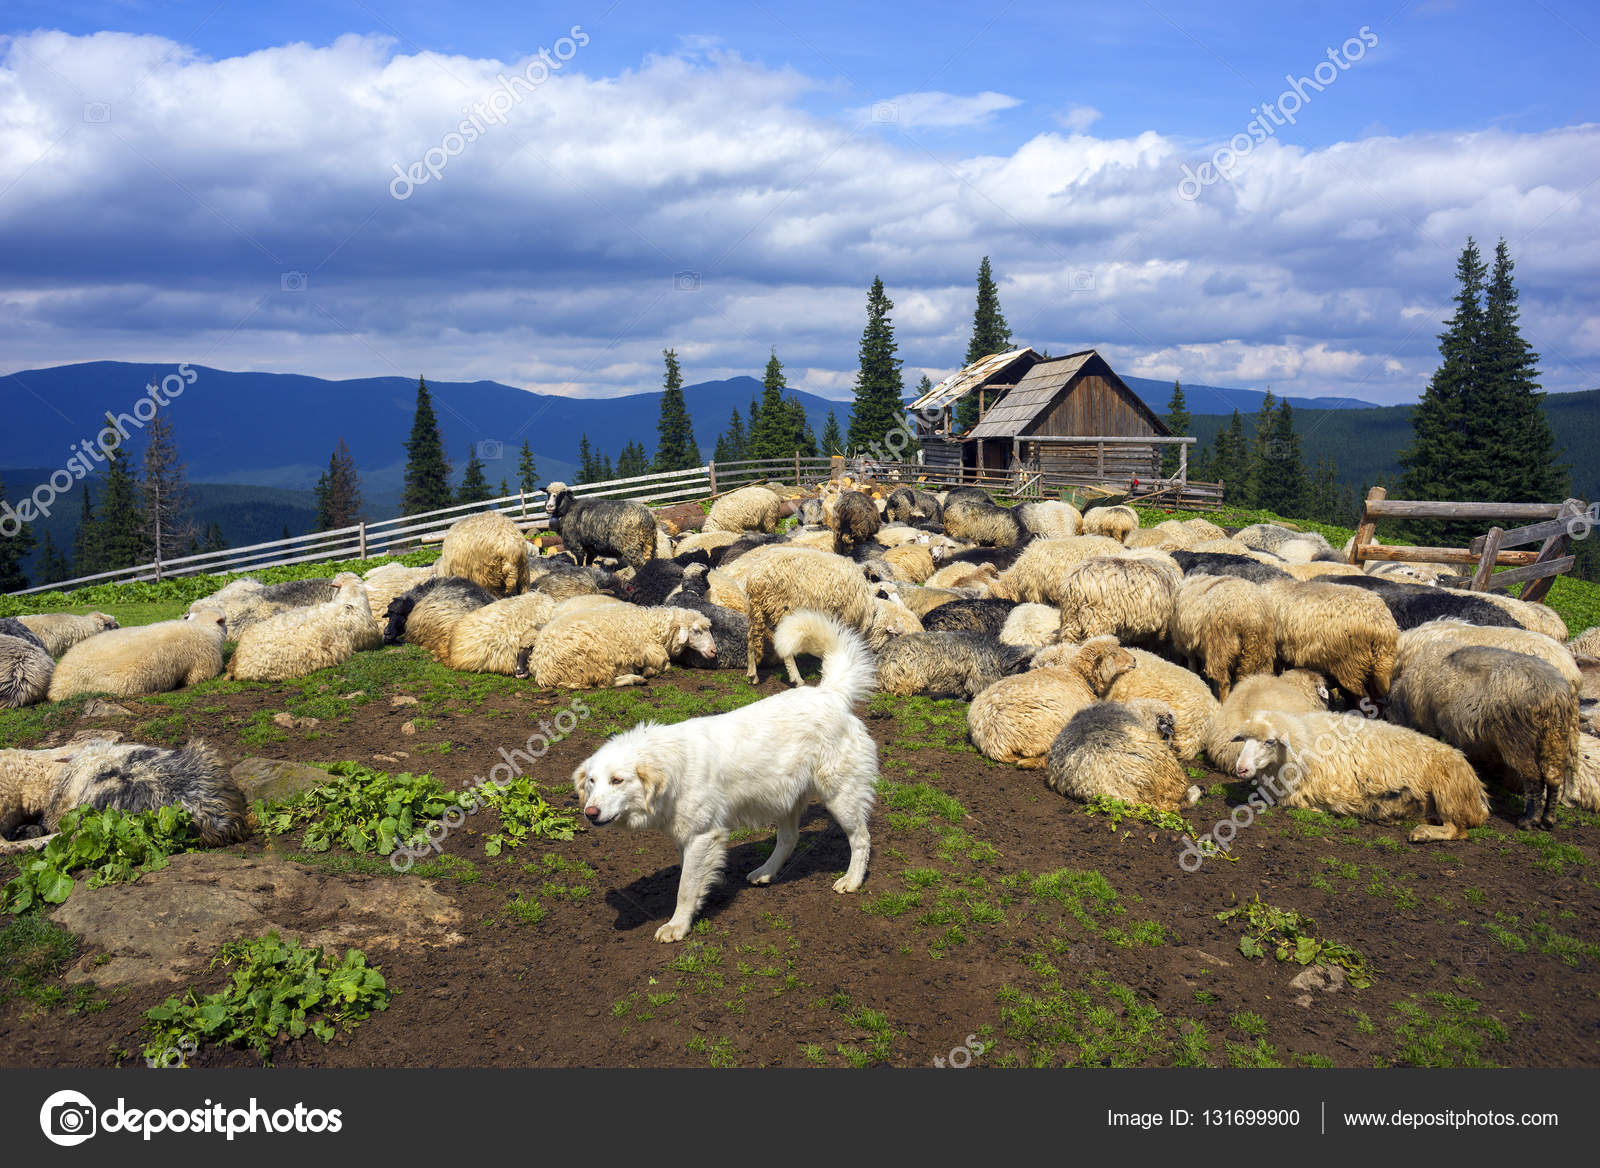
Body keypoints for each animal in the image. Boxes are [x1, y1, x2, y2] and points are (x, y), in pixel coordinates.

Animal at [521, 601, 716, 688]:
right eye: (696, 630)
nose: (714, 651)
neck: (651, 625)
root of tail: (542, 671)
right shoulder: (651, 652)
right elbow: (665, 665)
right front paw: (648, 671)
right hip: (596, 658)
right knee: (605, 684)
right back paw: (635, 678)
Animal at [742, 548, 877, 683]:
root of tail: (756, 579)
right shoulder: (845, 617)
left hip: (759, 610)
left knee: (750, 638)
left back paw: (752, 675)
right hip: (782, 608)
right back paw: (797, 679)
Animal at [1232, 709, 1489, 841]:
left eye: (1269, 741)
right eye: (1243, 739)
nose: (1240, 768)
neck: (1304, 738)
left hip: (1449, 792)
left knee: (1458, 830)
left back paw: (1421, 832)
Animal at [1387, 643, 1580, 831]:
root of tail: (1555, 693)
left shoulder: (1429, 723)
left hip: (1518, 739)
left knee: (1534, 778)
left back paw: (1528, 820)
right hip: (1555, 737)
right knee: (1554, 777)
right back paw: (1548, 819)